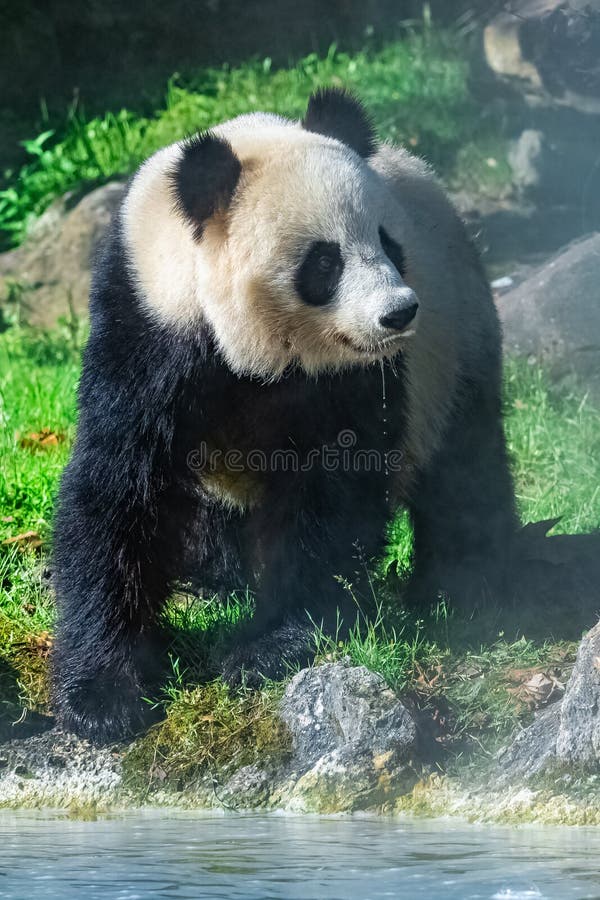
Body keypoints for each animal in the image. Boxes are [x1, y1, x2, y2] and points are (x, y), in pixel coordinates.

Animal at [52, 88, 517, 743]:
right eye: (324, 262)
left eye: (389, 243)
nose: (398, 313)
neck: (260, 352)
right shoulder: (146, 322)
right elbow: (121, 487)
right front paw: (103, 695)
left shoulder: (358, 376)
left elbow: (331, 494)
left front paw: (267, 648)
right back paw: (216, 575)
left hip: (456, 344)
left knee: (464, 468)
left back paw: (464, 587)